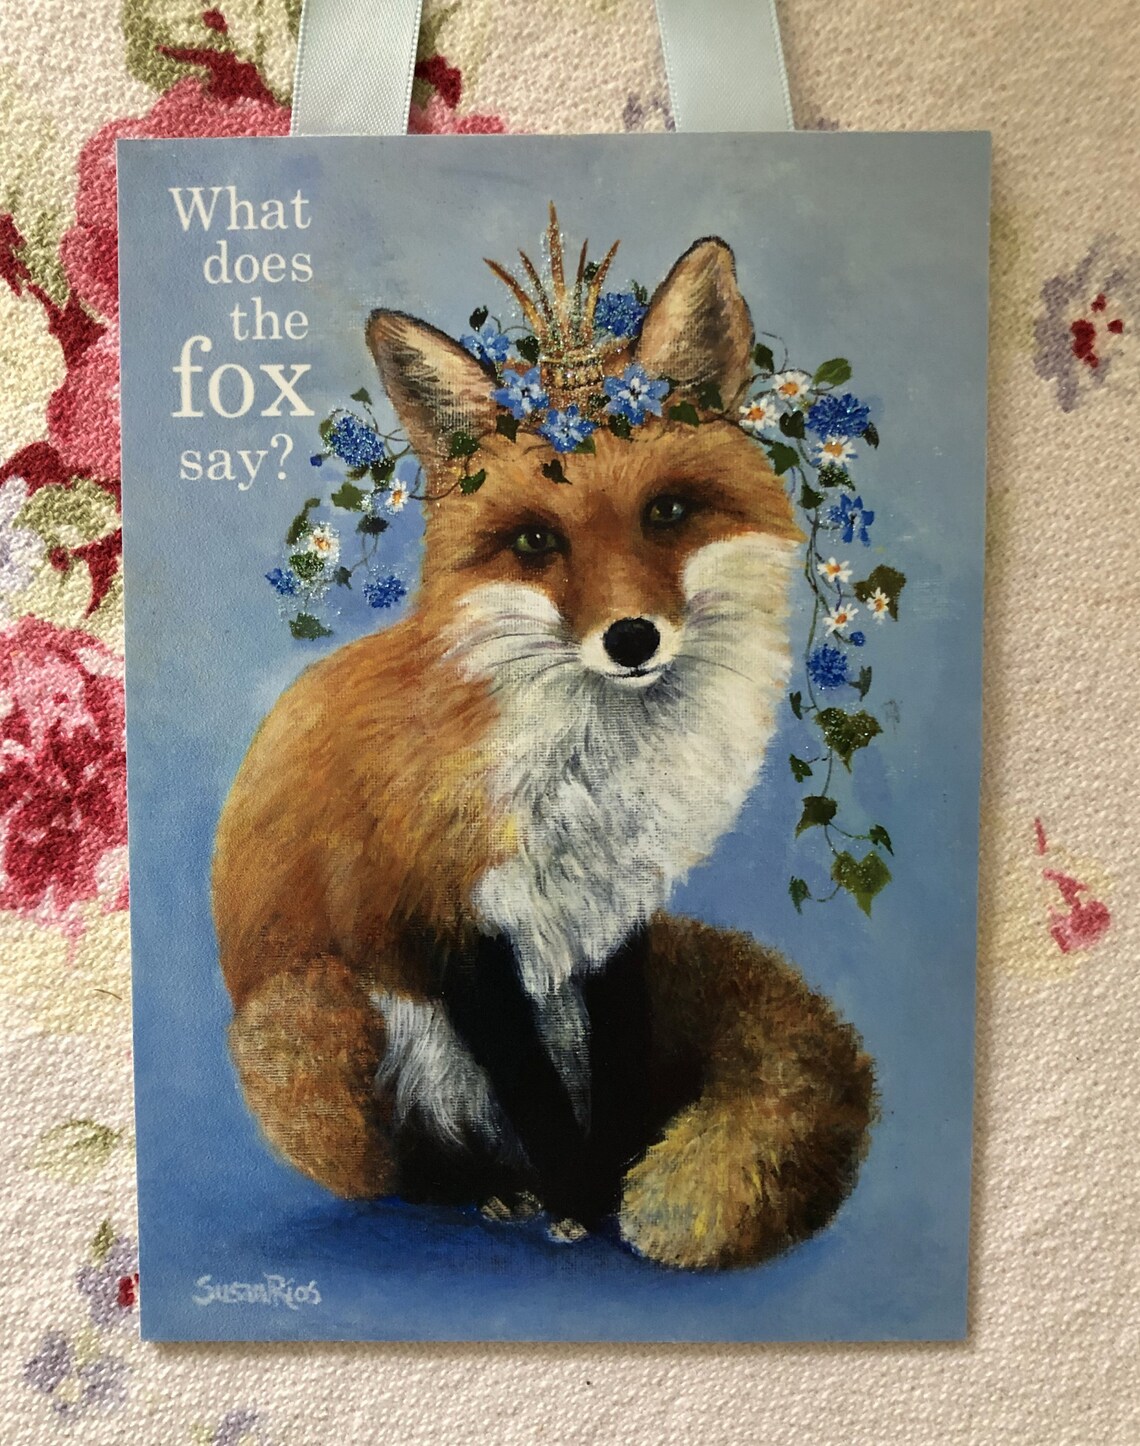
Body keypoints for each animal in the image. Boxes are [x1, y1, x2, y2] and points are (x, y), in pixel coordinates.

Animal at [212, 226, 875, 1270]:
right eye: (534, 541)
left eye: (667, 513)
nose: (632, 639)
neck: (592, 772)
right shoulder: (447, 919)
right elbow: (530, 1091)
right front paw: (573, 1196)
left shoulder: (618, 912)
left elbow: (618, 1070)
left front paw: (610, 1181)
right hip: (317, 1010)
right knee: (398, 1169)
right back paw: (484, 1186)